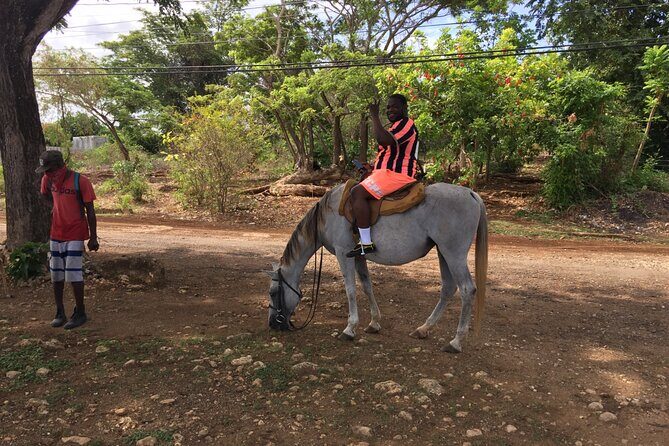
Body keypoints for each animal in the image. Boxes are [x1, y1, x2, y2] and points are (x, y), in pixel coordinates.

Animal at [267, 181, 488, 353]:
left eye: (273, 292)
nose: (272, 324)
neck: (329, 213)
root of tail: (471, 193)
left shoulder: (343, 253)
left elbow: (350, 289)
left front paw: (349, 329)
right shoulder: (357, 256)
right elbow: (366, 285)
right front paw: (374, 323)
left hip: (454, 254)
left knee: (467, 289)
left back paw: (456, 342)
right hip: (443, 252)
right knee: (448, 288)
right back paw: (424, 328)